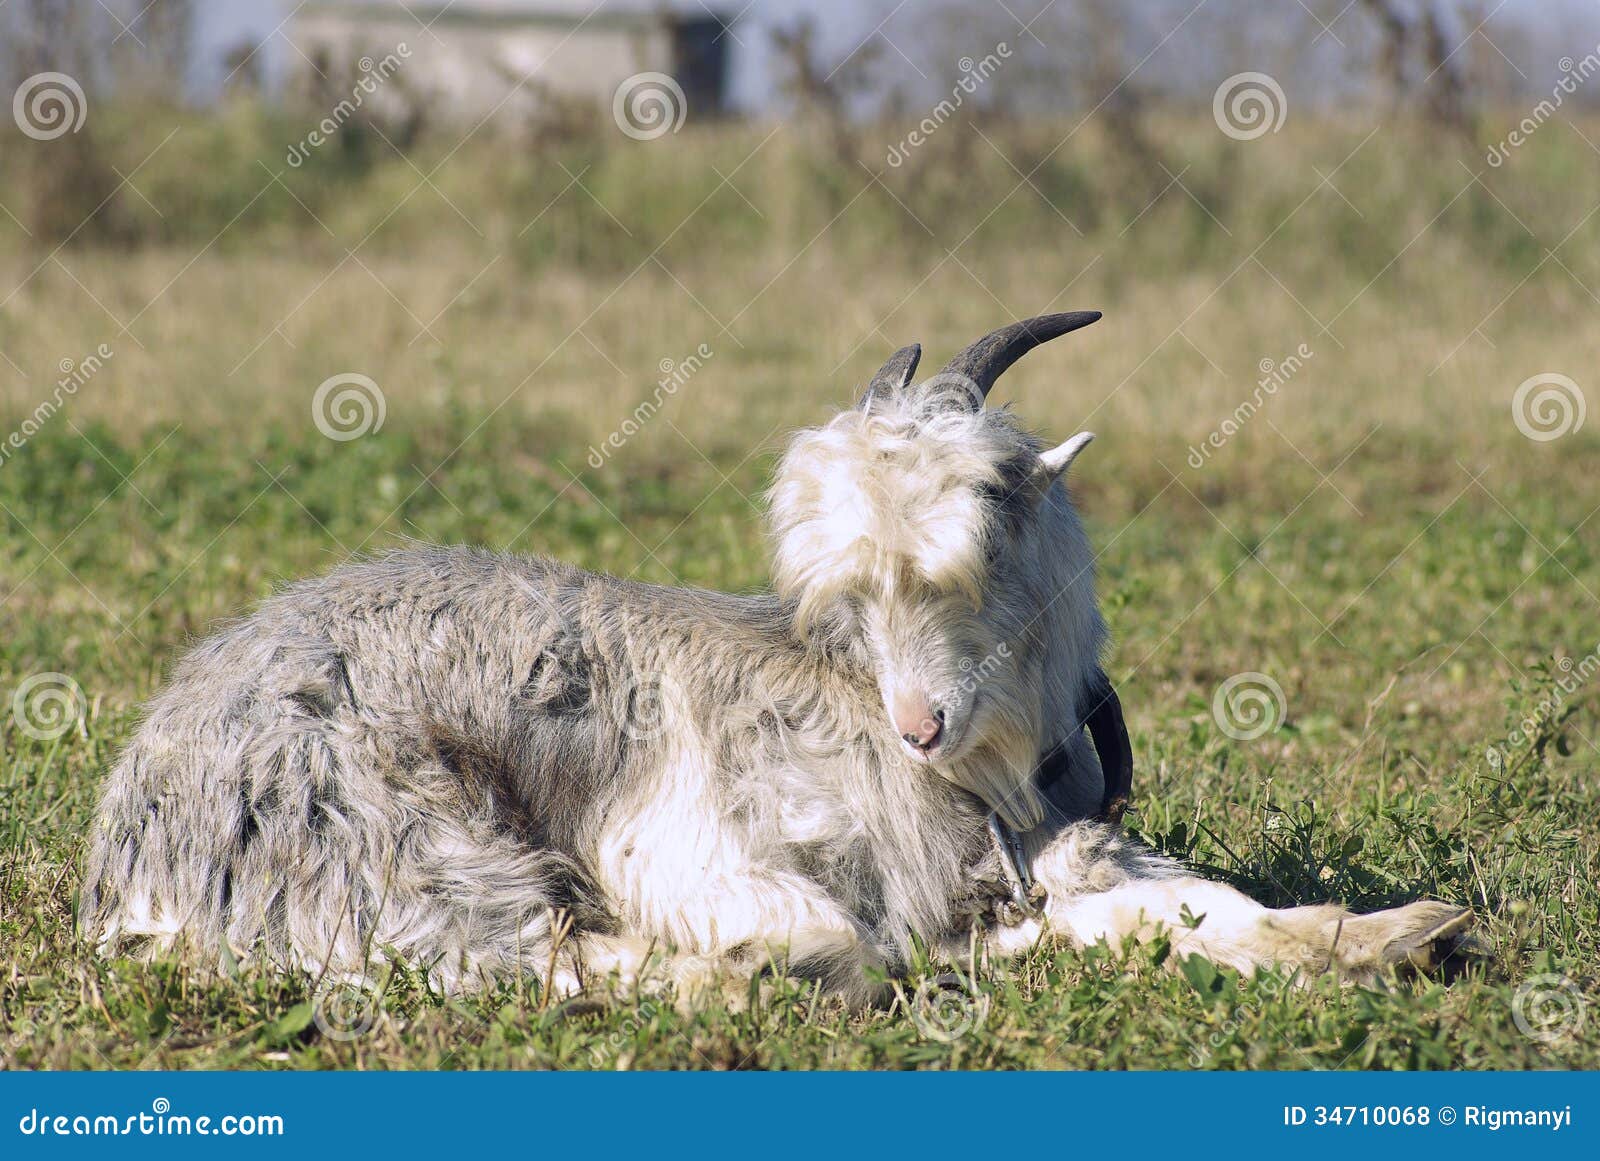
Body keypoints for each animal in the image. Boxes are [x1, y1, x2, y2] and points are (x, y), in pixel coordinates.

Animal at [80, 313, 1475, 1006]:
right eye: (846, 589)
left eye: (991, 527)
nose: (919, 725)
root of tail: (134, 851)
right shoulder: (696, 845)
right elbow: (838, 938)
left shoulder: (1055, 850)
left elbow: (1194, 906)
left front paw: (1404, 935)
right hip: (405, 834)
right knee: (525, 953)